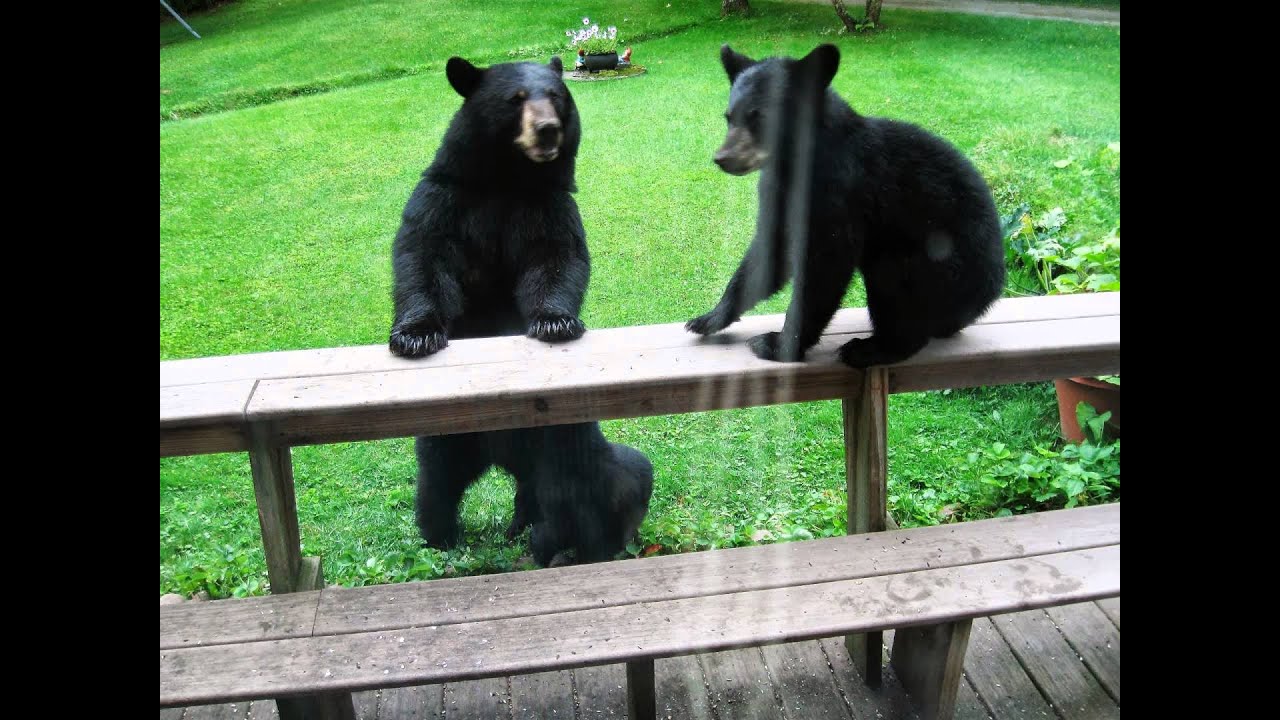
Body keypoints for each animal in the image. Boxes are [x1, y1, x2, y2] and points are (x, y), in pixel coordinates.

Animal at [388, 55, 653, 565]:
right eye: (515, 99)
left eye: (557, 96)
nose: (549, 130)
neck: (508, 180)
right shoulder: (444, 197)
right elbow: (423, 254)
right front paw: (416, 334)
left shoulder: (547, 206)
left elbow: (557, 258)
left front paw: (555, 322)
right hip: (452, 437)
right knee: (437, 480)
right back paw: (443, 536)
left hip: (578, 455)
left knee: (614, 481)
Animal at [686, 44, 1007, 368]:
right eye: (729, 117)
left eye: (761, 118)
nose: (723, 158)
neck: (797, 163)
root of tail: (991, 294)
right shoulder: (778, 191)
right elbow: (771, 249)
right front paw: (708, 318)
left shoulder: (839, 192)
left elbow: (826, 263)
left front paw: (778, 344)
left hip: (940, 268)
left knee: (896, 287)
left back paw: (871, 348)